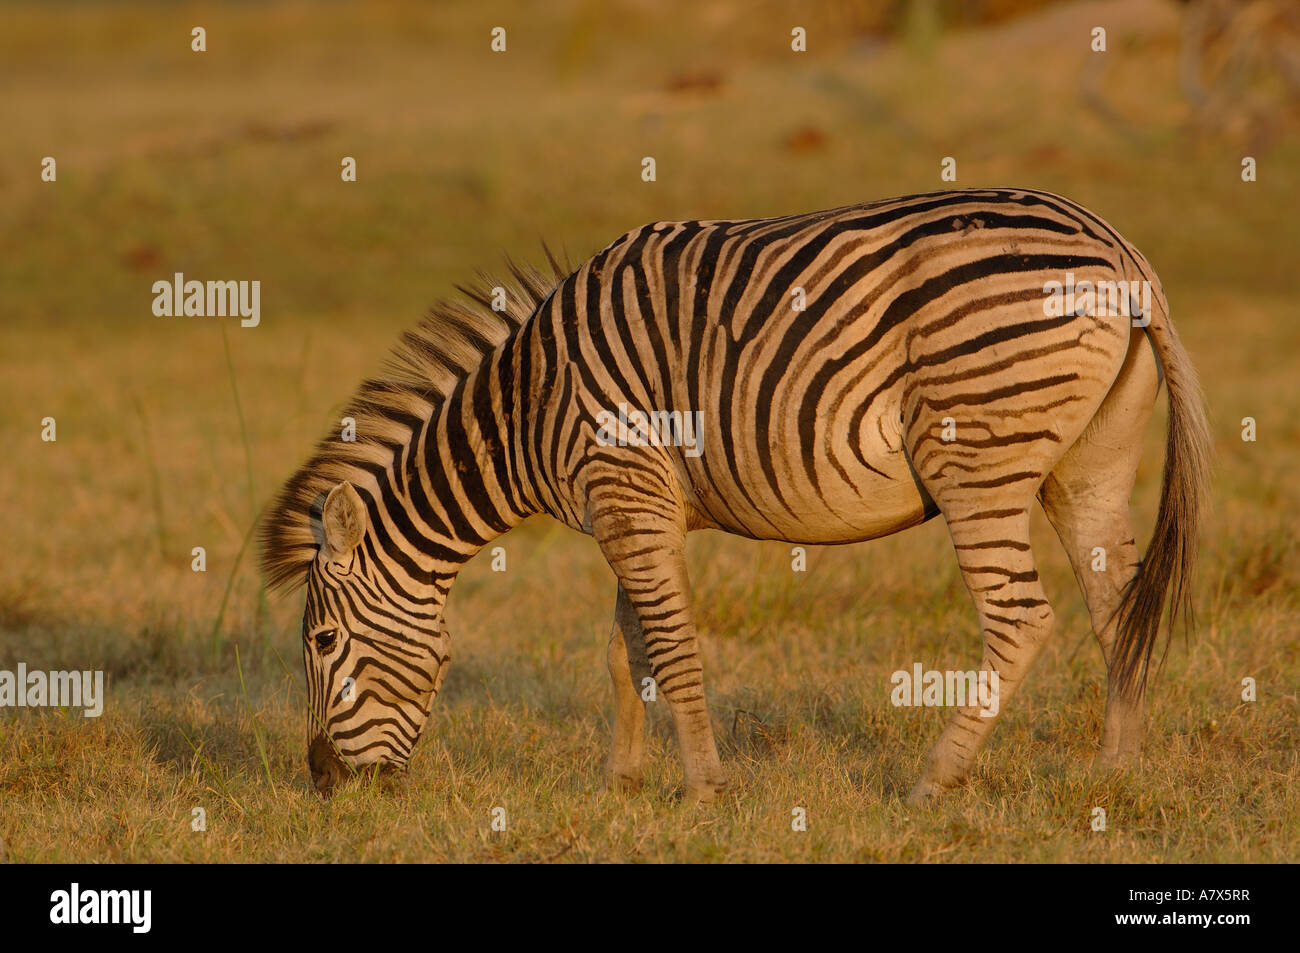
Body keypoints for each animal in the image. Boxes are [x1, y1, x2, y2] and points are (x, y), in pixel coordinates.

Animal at [260, 187, 1210, 804]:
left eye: (322, 640)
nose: (325, 785)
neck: (529, 407)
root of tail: (1122, 255)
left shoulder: (627, 494)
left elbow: (672, 649)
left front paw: (707, 789)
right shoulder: (633, 506)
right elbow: (627, 652)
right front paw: (623, 783)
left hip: (975, 452)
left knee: (1022, 618)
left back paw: (931, 781)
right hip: (1089, 464)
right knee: (1119, 608)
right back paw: (1115, 774)